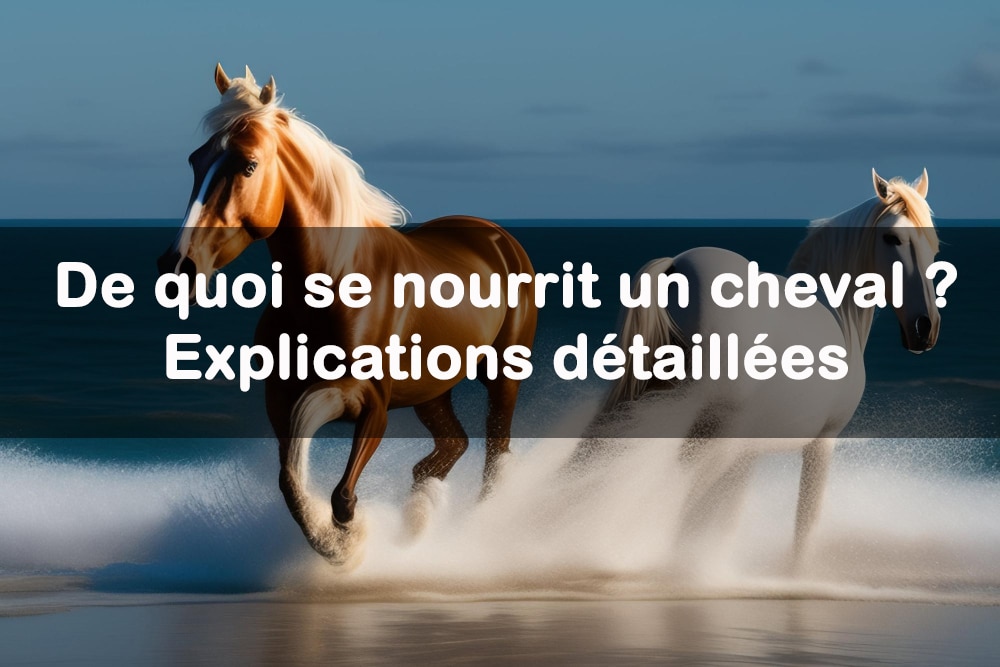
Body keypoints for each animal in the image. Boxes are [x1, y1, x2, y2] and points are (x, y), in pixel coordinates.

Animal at [157, 64, 537, 564]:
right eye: (195, 161)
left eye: (248, 165)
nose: (178, 267)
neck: (334, 283)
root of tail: (495, 235)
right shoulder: (282, 401)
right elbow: (291, 482)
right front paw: (337, 540)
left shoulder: (367, 405)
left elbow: (339, 494)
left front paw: (345, 539)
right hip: (432, 390)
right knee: (452, 445)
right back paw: (418, 518)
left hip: (503, 375)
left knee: (495, 454)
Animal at [579, 169, 941, 569]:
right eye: (892, 237)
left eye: (934, 246)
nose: (925, 328)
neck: (835, 313)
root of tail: (677, 265)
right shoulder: (822, 442)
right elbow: (805, 525)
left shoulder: (745, 453)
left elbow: (726, 519)